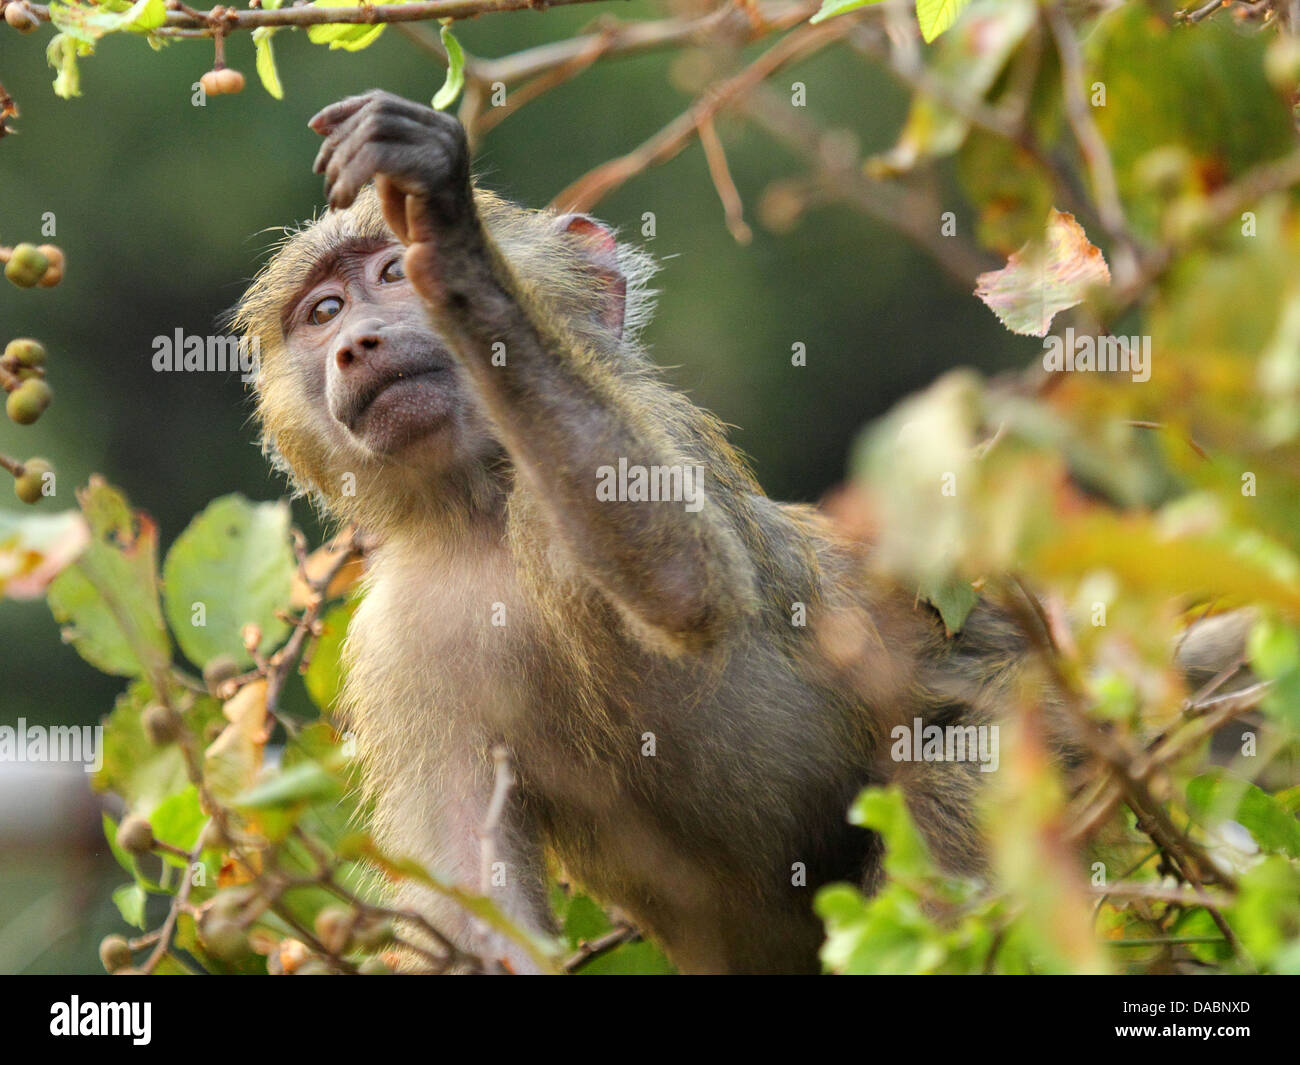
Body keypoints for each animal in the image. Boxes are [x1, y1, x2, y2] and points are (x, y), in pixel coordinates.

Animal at [230, 91, 1243, 974]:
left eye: (385, 274)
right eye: (323, 312)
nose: (356, 344)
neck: (479, 511)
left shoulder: (659, 430)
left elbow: (688, 586)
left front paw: (452, 242)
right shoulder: (400, 643)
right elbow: (479, 915)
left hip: (1040, 731)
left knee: (945, 789)